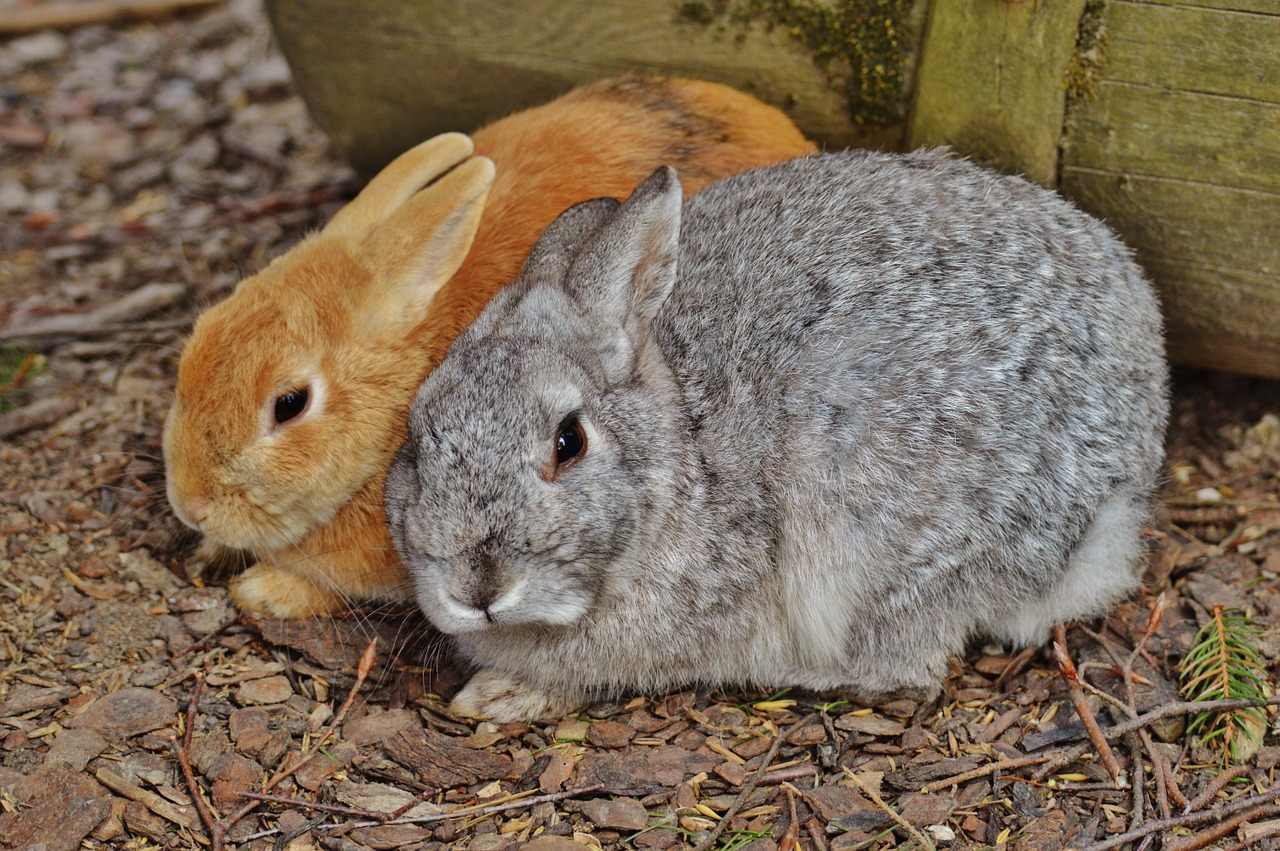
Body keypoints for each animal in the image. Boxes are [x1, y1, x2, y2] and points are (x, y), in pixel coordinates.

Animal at [385, 149, 1170, 722]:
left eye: (568, 442)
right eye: (416, 438)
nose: (477, 587)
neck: (684, 448)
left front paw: (503, 696)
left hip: (885, 539)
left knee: (903, 667)